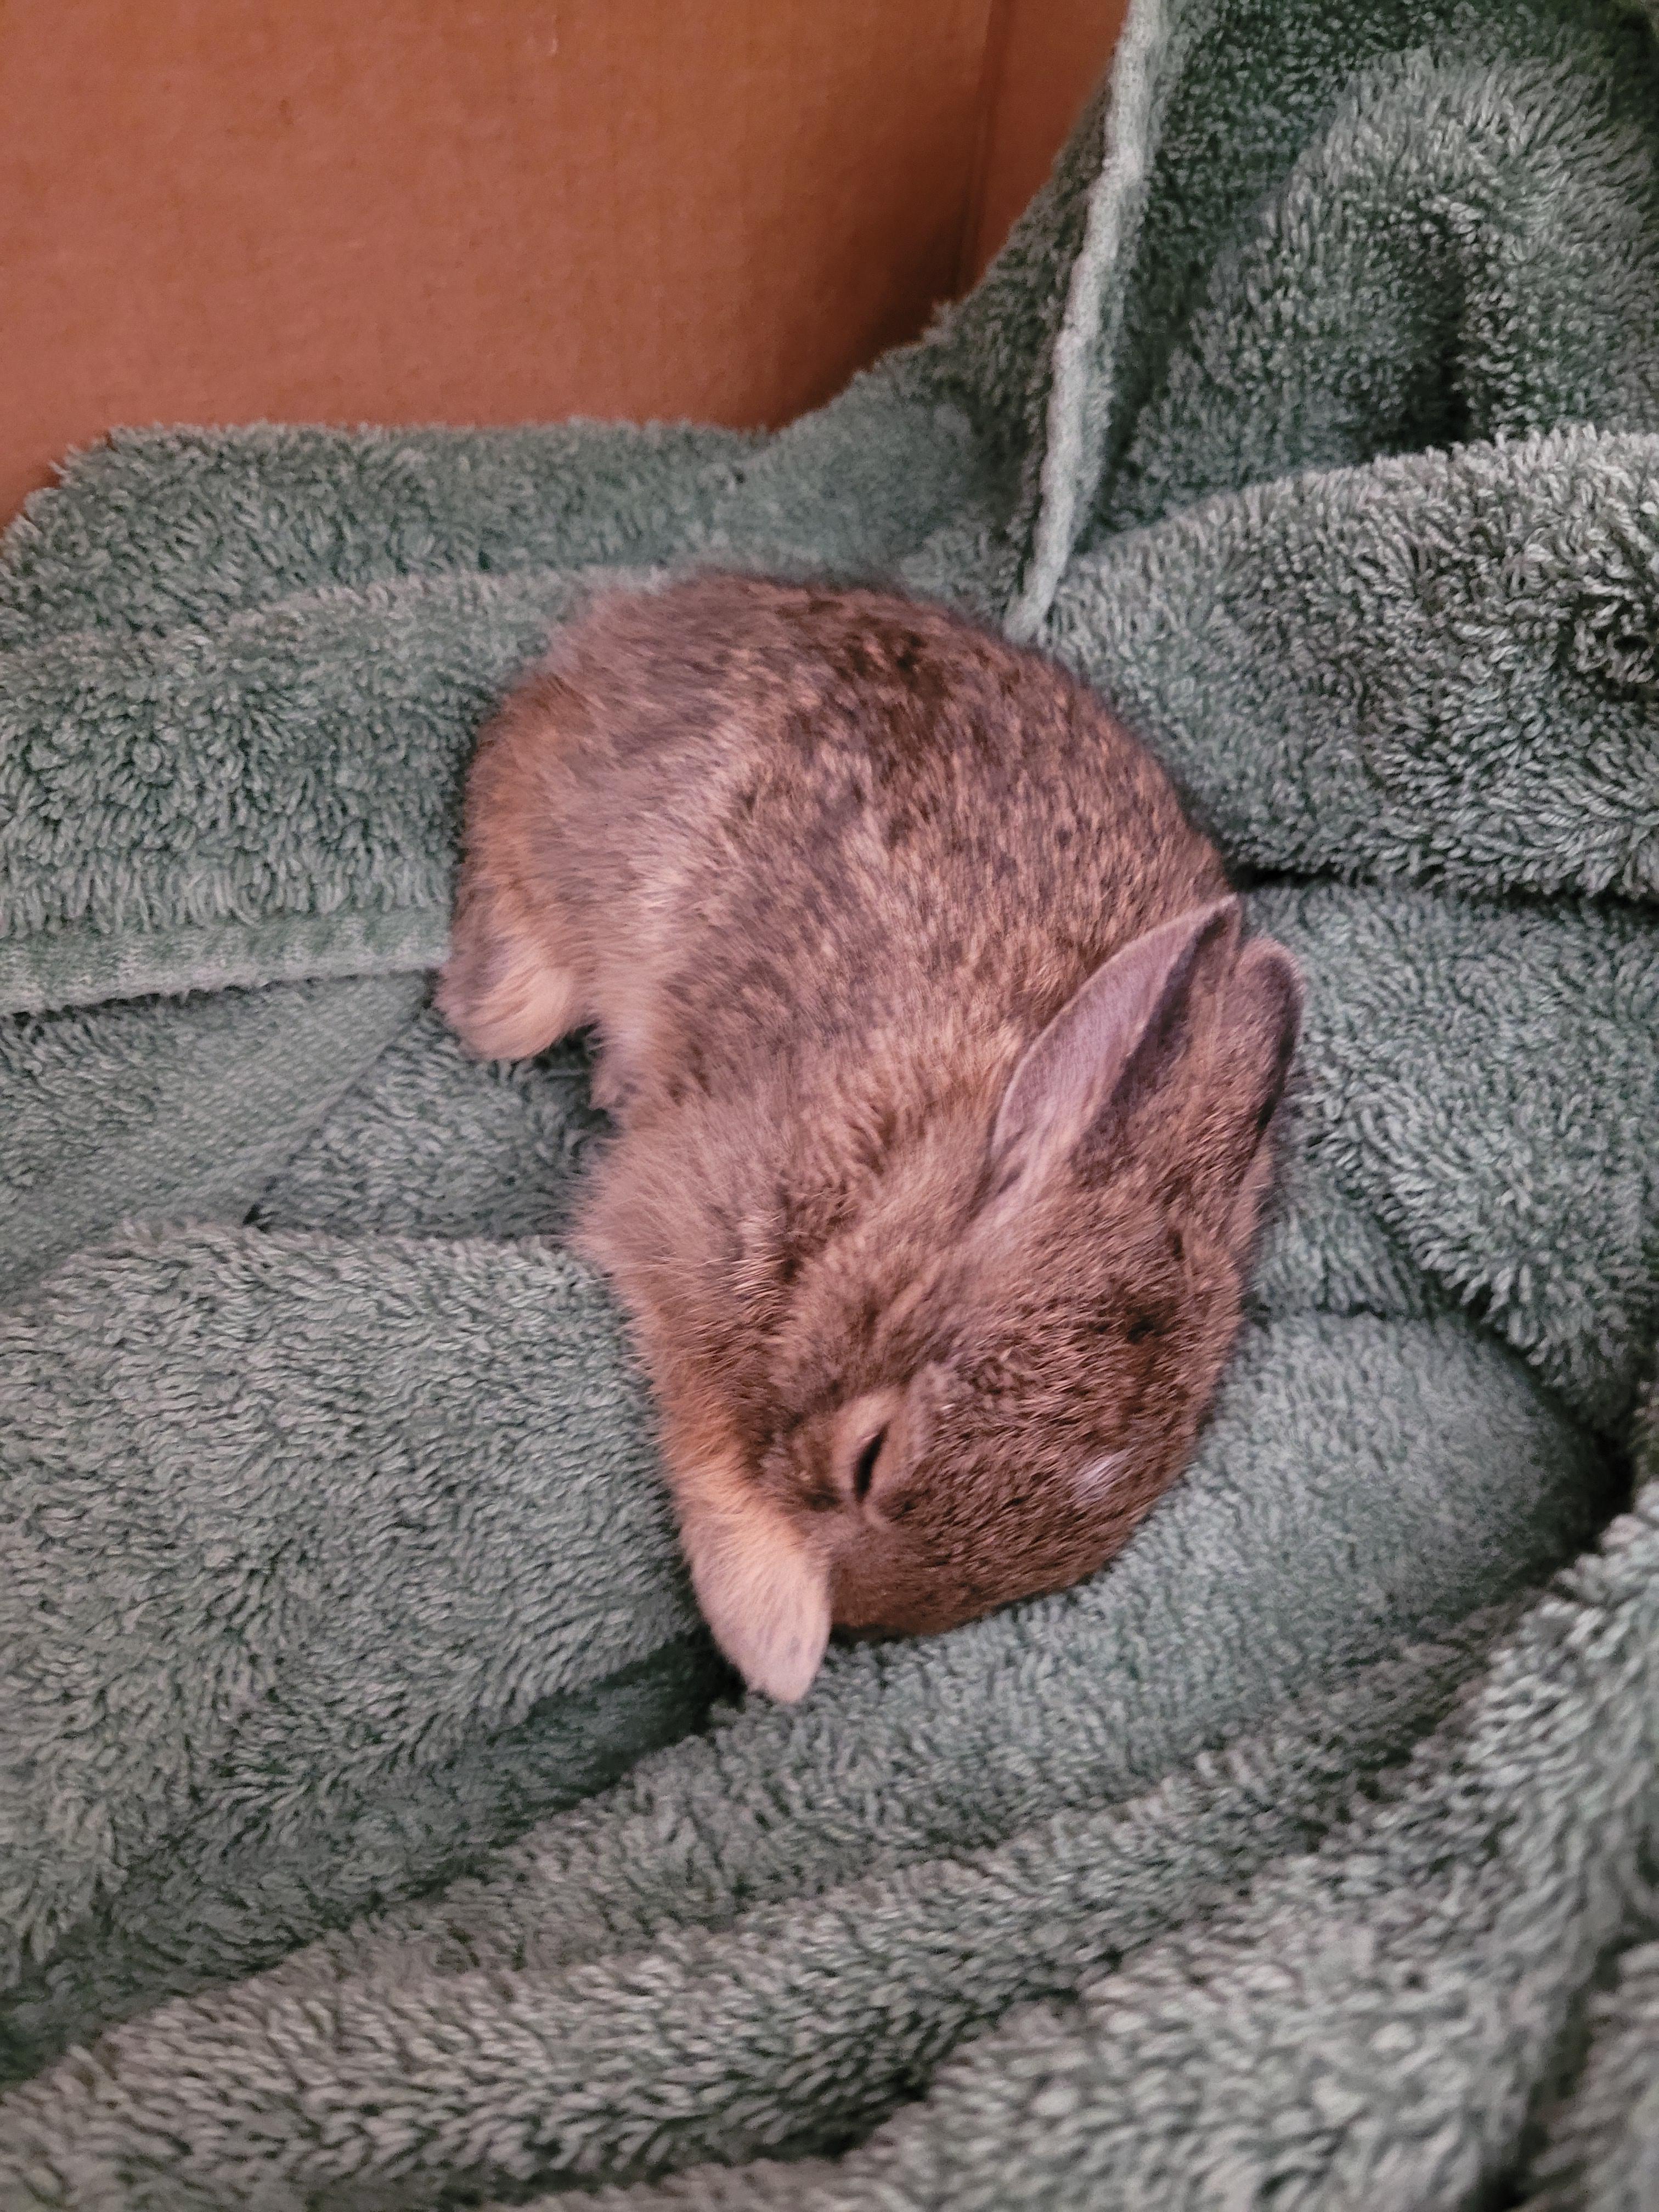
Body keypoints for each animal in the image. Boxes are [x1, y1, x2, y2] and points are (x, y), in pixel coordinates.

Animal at [437, 572, 1301, 1703]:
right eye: (870, 1459)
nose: (861, 1616)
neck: (900, 1179)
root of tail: (618, 629)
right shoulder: (707, 1215)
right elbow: (707, 1426)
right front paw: (777, 1641)